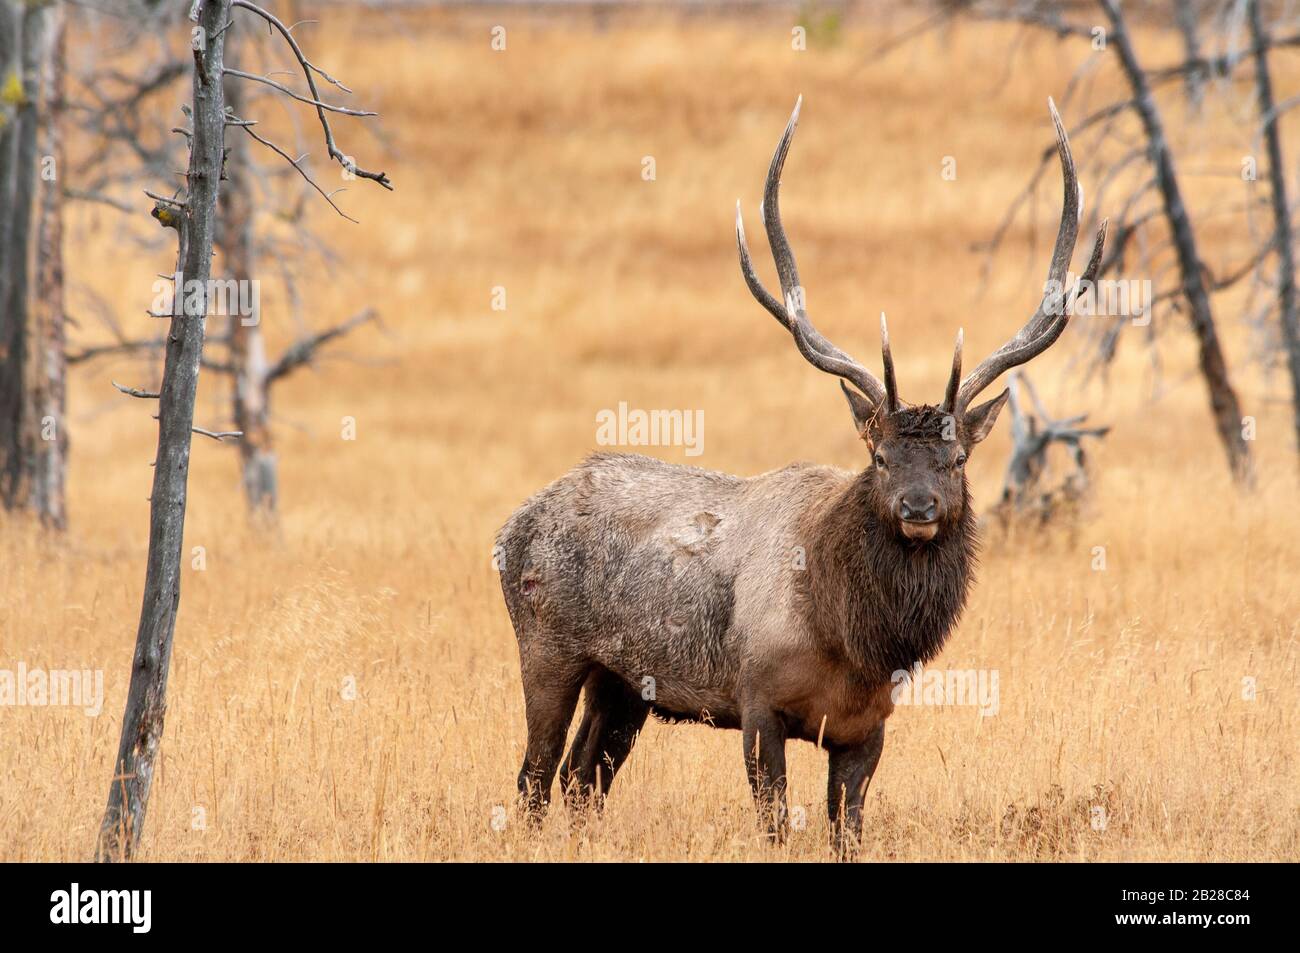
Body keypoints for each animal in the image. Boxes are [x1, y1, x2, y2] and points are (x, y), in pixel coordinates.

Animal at [495, 97, 1106, 855]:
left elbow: (848, 830)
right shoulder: (758, 704)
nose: (918, 507)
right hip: (546, 644)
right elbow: (775, 826)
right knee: (534, 776)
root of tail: (511, 526)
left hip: (623, 683)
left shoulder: (867, 727)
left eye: (958, 457)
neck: (850, 638)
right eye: (879, 456)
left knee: (583, 779)